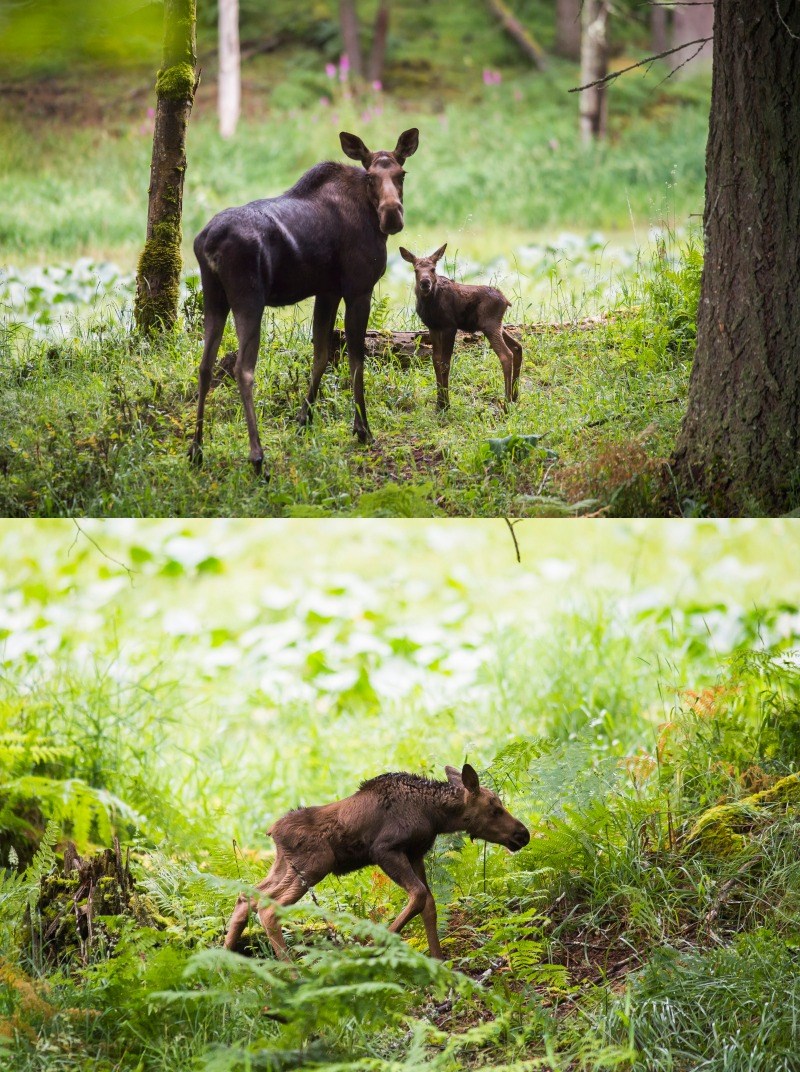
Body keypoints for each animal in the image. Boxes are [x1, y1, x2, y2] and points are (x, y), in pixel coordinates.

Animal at [190, 128, 420, 475]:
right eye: (370, 177)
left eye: (401, 174)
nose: (392, 216)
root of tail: (208, 242)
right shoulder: (358, 288)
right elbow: (356, 359)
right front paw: (362, 429)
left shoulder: (327, 291)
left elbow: (321, 355)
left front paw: (303, 419)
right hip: (249, 297)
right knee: (243, 369)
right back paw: (257, 456)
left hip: (214, 297)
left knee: (205, 366)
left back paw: (196, 449)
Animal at [223, 763, 530, 960]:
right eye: (494, 809)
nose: (523, 834)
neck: (435, 815)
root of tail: (272, 832)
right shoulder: (385, 850)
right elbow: (419, 896)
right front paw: (376, 944)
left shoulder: (415, 853)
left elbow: (429, 904)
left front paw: (438, 960)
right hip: (313, 866)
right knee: (267, 909)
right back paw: (292, 972)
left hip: (286, 865)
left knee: (246, 897)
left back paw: (224, 959)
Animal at [399, 244, 523, 409]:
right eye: (415, 269)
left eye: (433, 269)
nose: (425, 283)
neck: (429, 304)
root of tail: (506, 301)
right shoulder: (433, 327)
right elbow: (435, 361)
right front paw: (439, 404)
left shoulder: (450, 326)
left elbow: (445, 363)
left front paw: (446, 404)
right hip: (497, 325)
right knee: (517, 347)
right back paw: (515, 397)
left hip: (490, 325)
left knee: (506, 354)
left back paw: (506, 404)